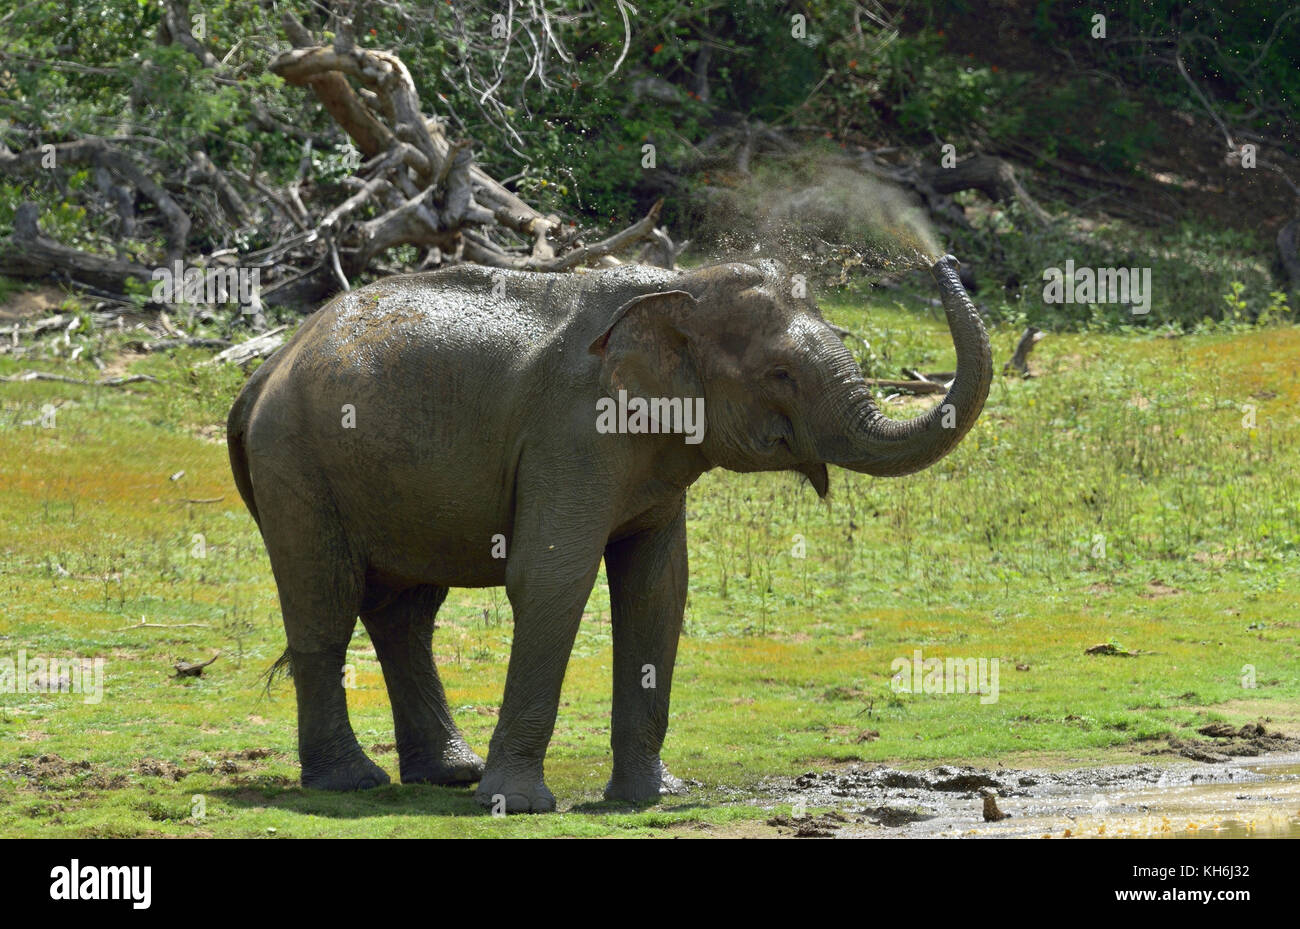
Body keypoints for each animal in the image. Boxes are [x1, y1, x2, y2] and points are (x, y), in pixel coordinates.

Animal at [226, 253, 991, 812]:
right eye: (779, 373)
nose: (943, 257)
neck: (678, 287)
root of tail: (263, 372)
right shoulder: (571, 433)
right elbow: (553, 575)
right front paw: (520, 806)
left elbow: (658, 587)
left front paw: (651, 798)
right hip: (297, 463)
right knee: (325, 606)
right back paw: (352, 783)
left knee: (405, 612)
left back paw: (448, 774)